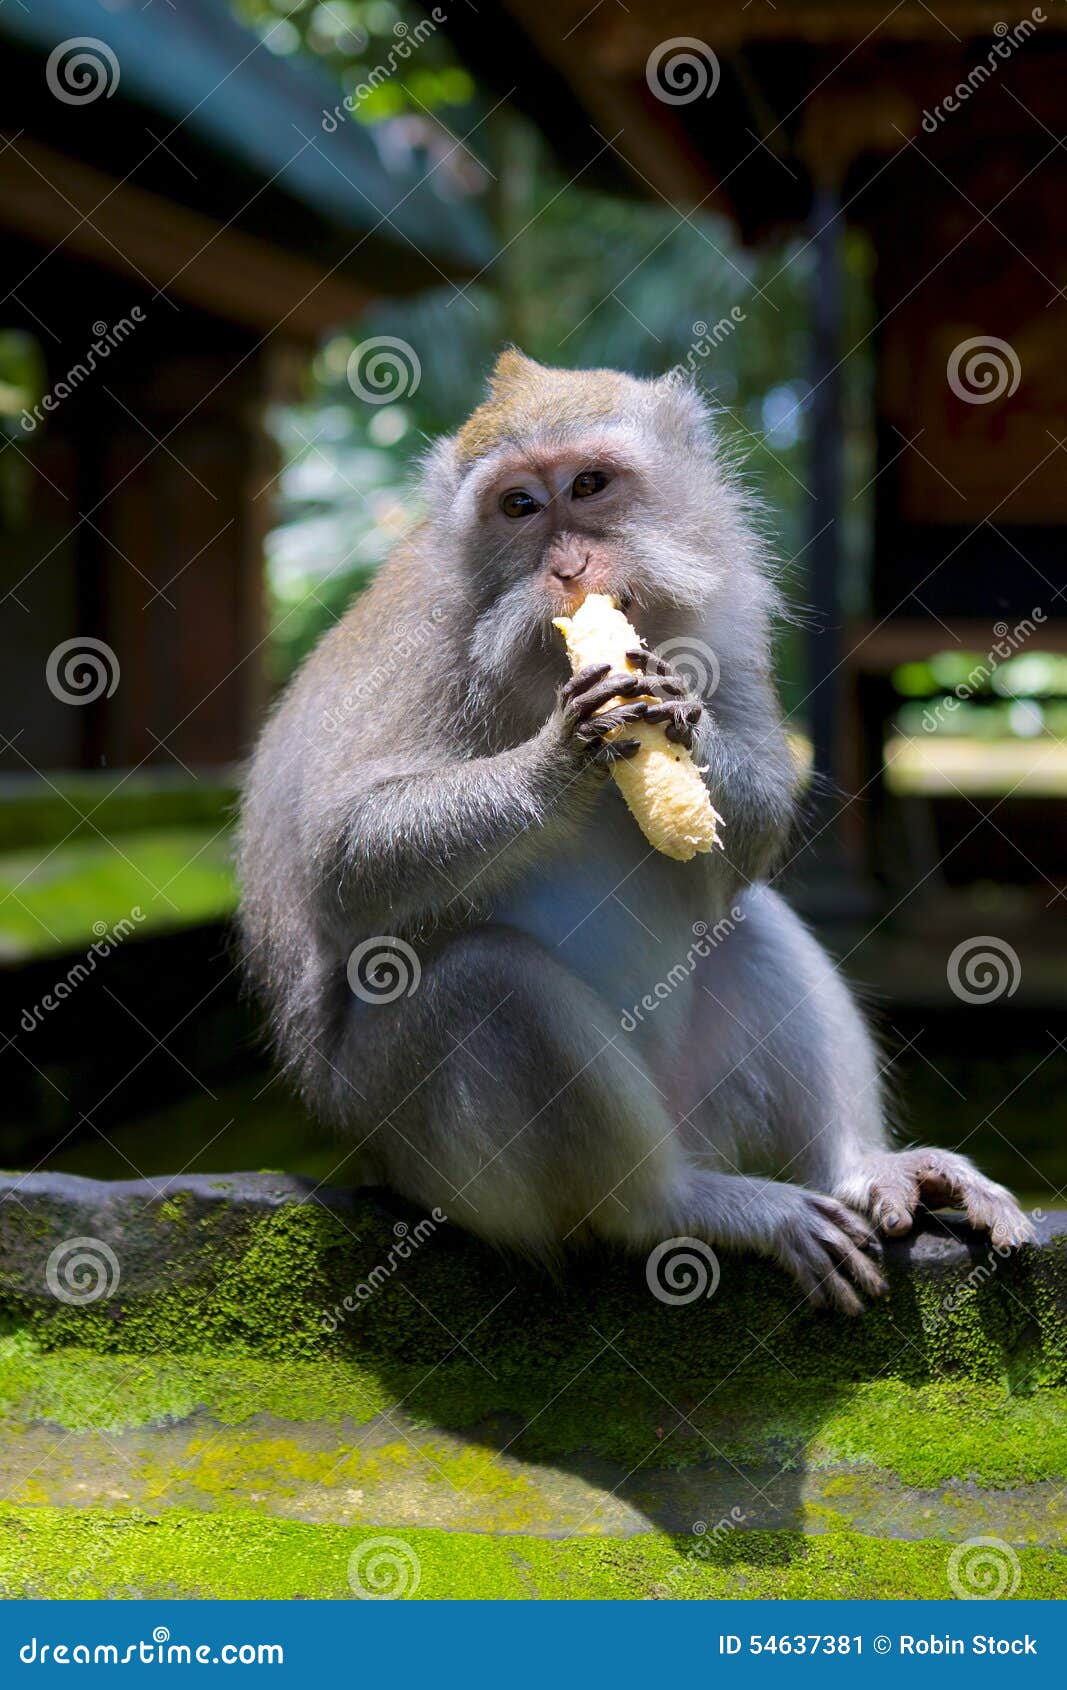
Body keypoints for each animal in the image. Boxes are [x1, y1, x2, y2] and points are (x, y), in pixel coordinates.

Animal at [237, 349, 1033, 1315]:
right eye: (518, 506)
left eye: (588, 485)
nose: (570, 567)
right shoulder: (420, 648)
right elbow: (341, 859)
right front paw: (558, 756)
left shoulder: (726, 609)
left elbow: (749, 824)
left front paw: (680, 714)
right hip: (422, 1145)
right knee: (487, 986)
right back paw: (678, 1206)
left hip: (701, 1095)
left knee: (748, 923)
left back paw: (863, 1167)